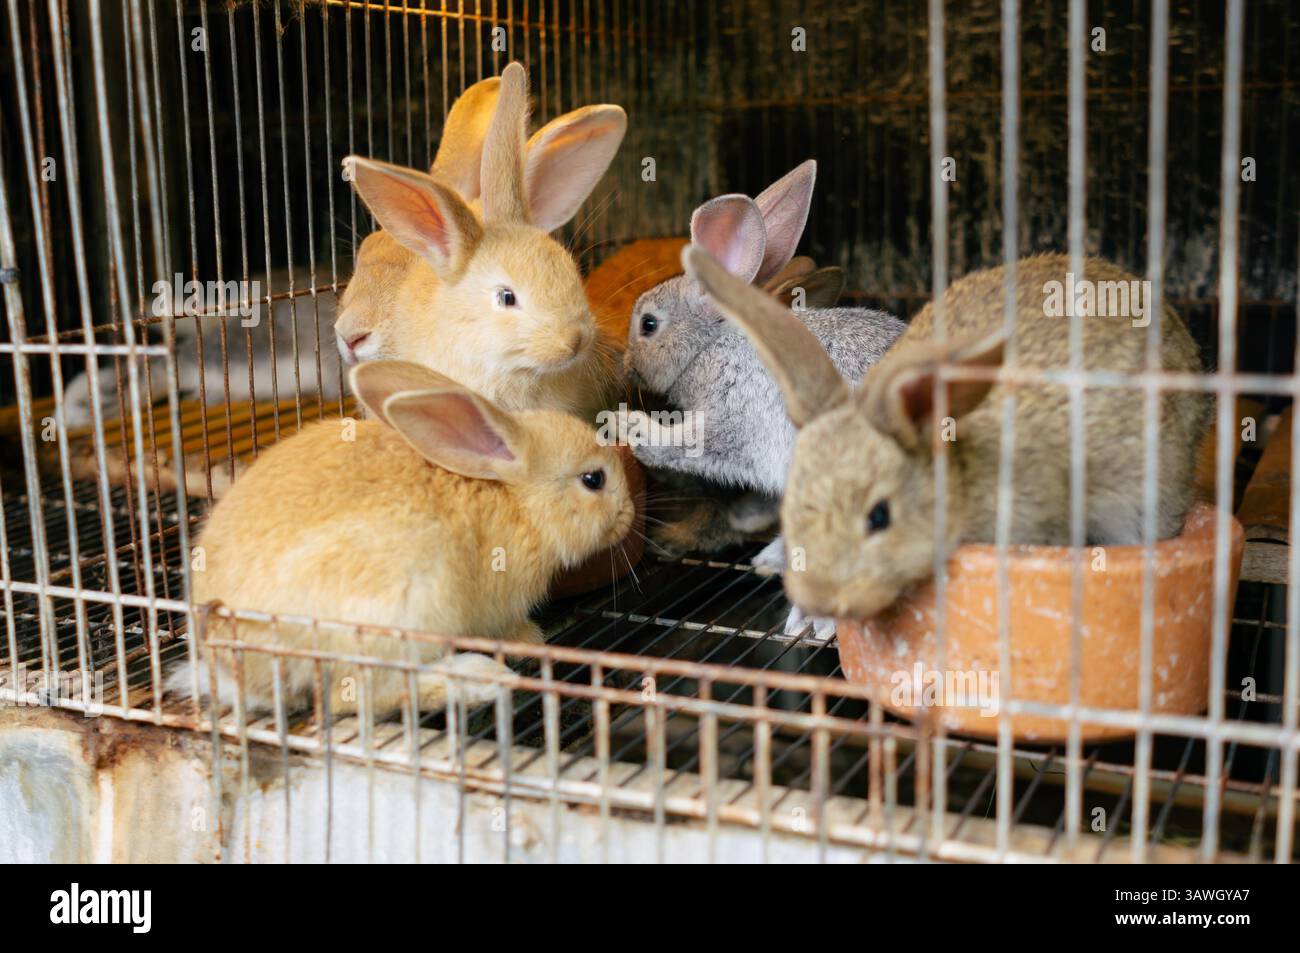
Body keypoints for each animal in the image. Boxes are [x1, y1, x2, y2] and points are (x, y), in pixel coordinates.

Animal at [166, 358, 636, 717]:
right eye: (593, 479)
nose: (629, 514)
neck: (515, 499)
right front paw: (531, 639)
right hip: (400, 607)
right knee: (360, 695)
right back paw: (479, 680)